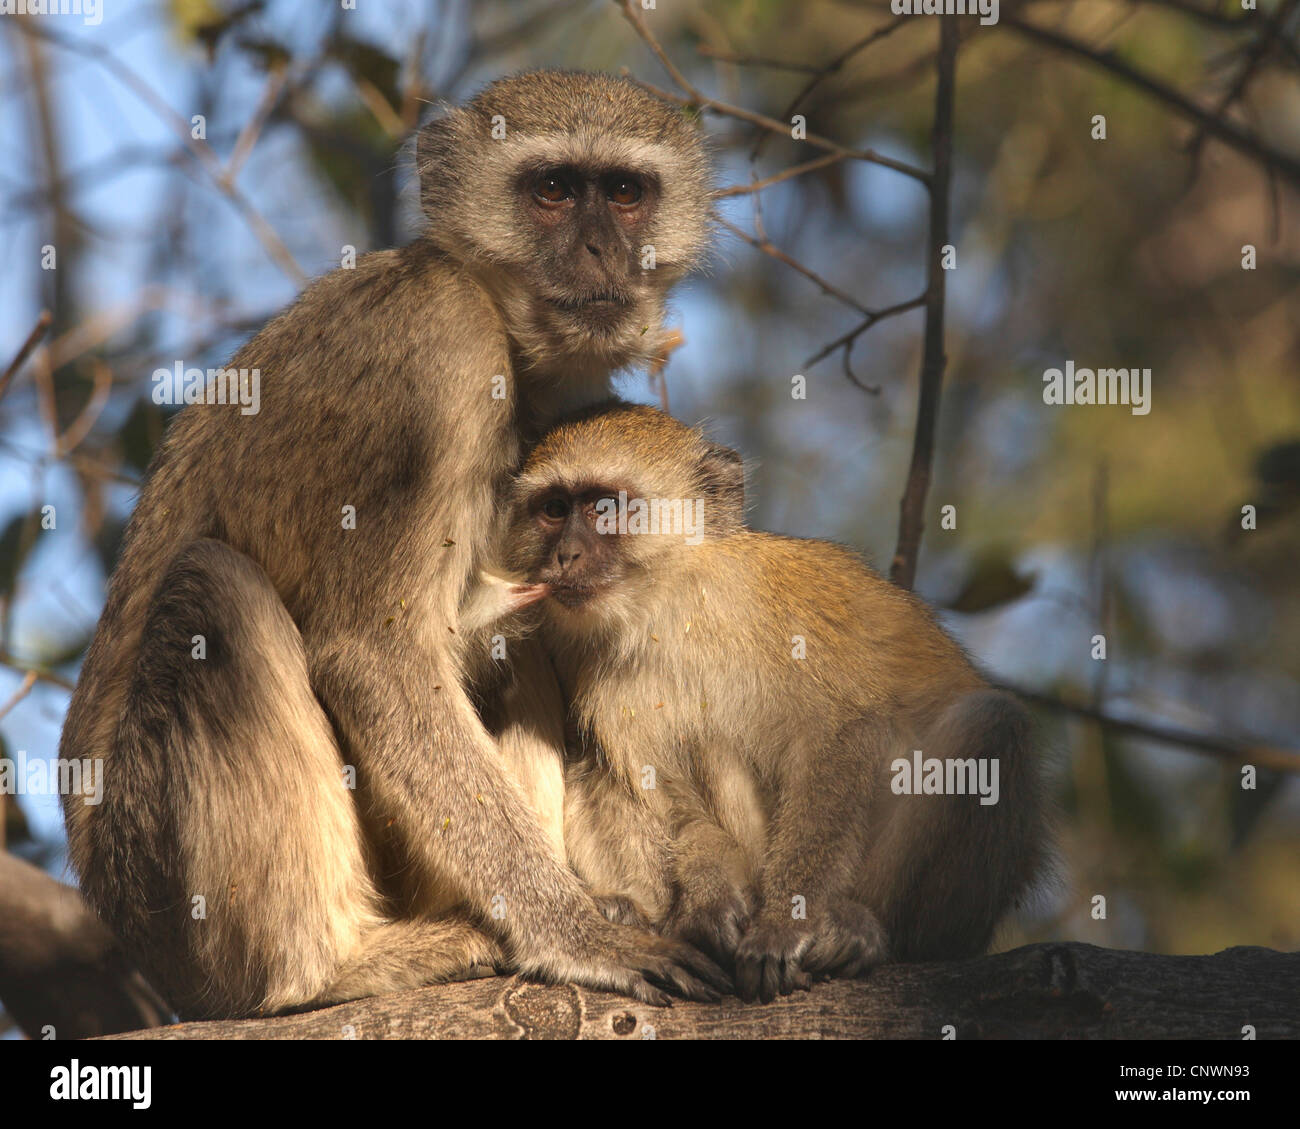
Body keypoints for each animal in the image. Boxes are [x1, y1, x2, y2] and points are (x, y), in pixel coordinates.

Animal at [57, 71, 730, 1020]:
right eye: (554, 190)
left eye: (627, 192)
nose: (604, 252)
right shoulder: (436, 351)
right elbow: (372, 654)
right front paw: (580, 936)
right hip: (161, 887)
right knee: (213, 592)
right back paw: (324, 971)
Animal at [502, 402, 1050, 1004]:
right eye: (555, 510)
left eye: (604, 508)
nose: (565, 554)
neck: (671, 605)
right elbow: (661, 787)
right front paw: (708, 891)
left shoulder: (769, 611)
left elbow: (842, 734)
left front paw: (788, 923)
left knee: (993, 727)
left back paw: (865, 929)